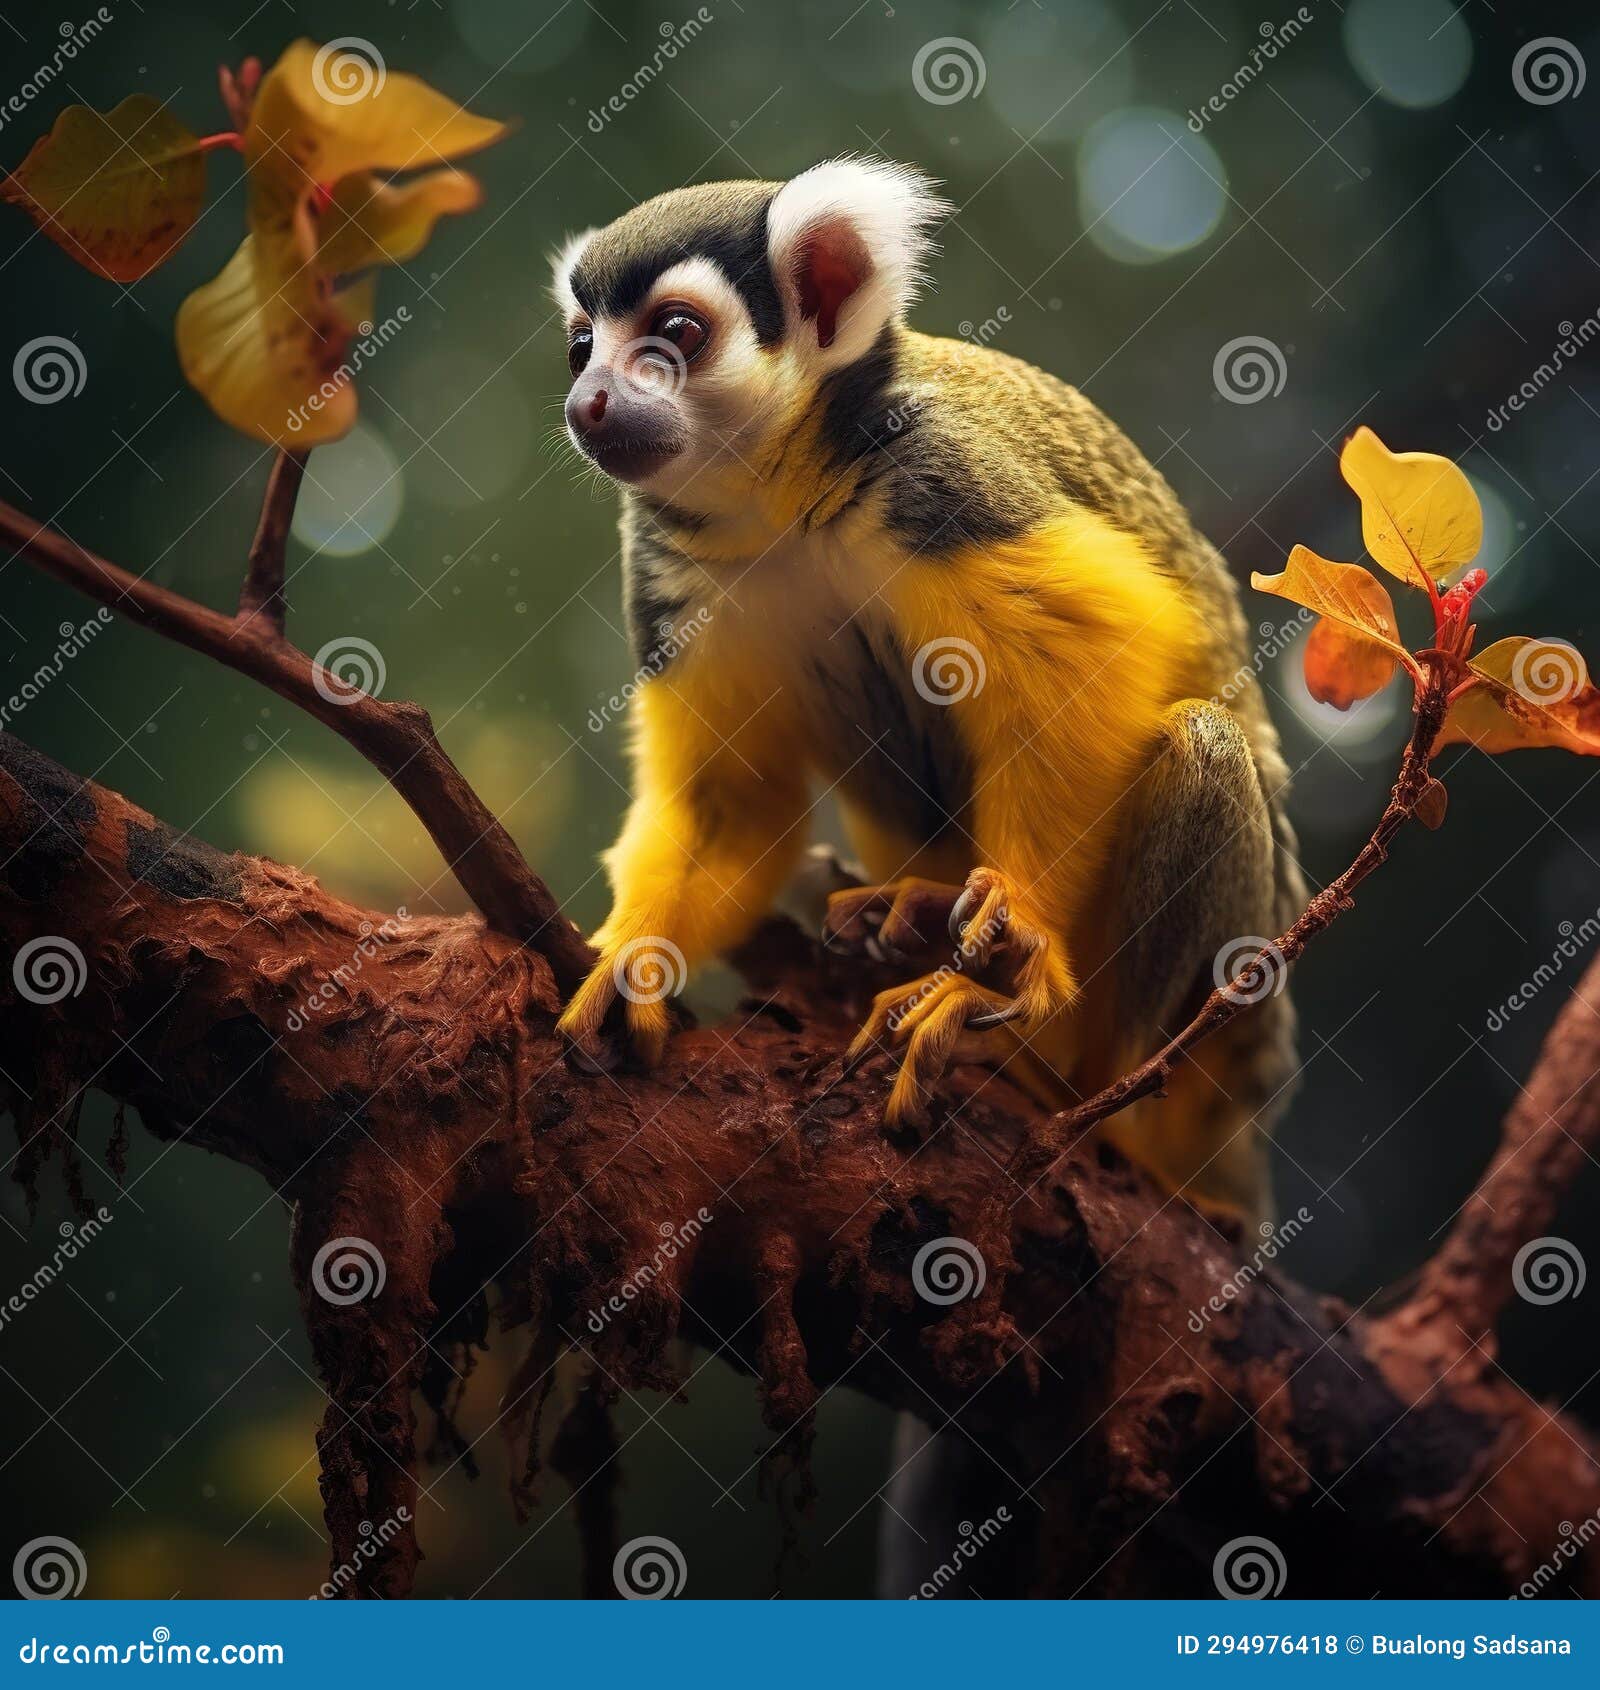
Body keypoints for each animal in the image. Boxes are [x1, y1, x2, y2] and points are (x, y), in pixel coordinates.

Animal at [550, 156, 1302, 1225]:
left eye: (677, 334)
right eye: (582, 349)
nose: (594, 401)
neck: (781, 494)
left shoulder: (932, 471)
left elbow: (1105, 642)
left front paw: (1015, 934)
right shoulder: (663, 558)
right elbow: (739, 801)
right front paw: (637, 956)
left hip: (1242, 993)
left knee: (1203, 742)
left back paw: (1070, 1076)